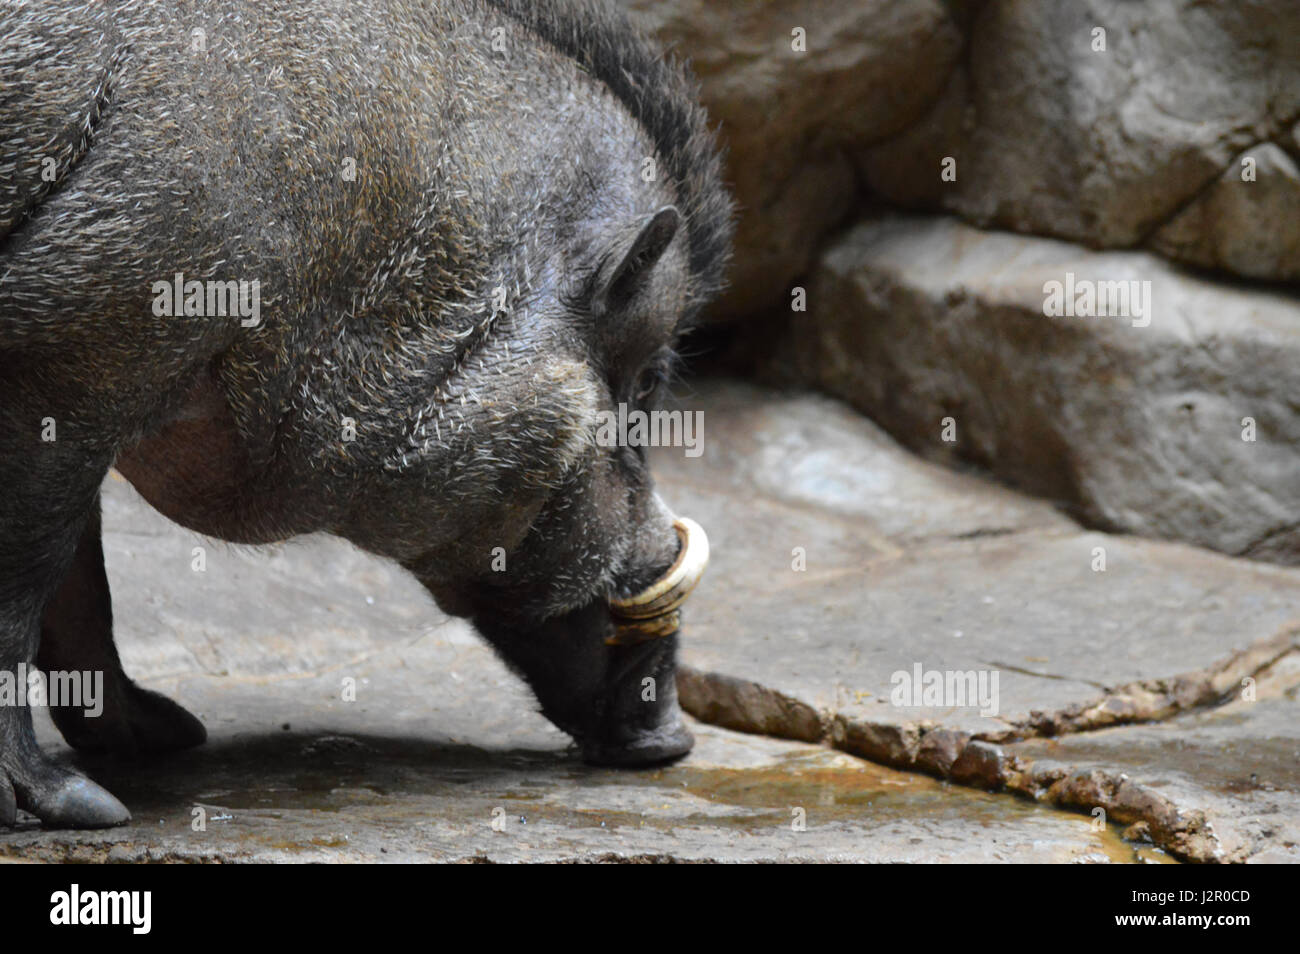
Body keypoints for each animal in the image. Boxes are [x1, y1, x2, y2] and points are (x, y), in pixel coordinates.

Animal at [0, 0, 733, 828]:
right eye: (646, 382)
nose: (673, 742)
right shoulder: (75, 357)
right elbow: (27, 579)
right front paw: (84, 808)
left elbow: (82, 586)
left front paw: (168, 736)